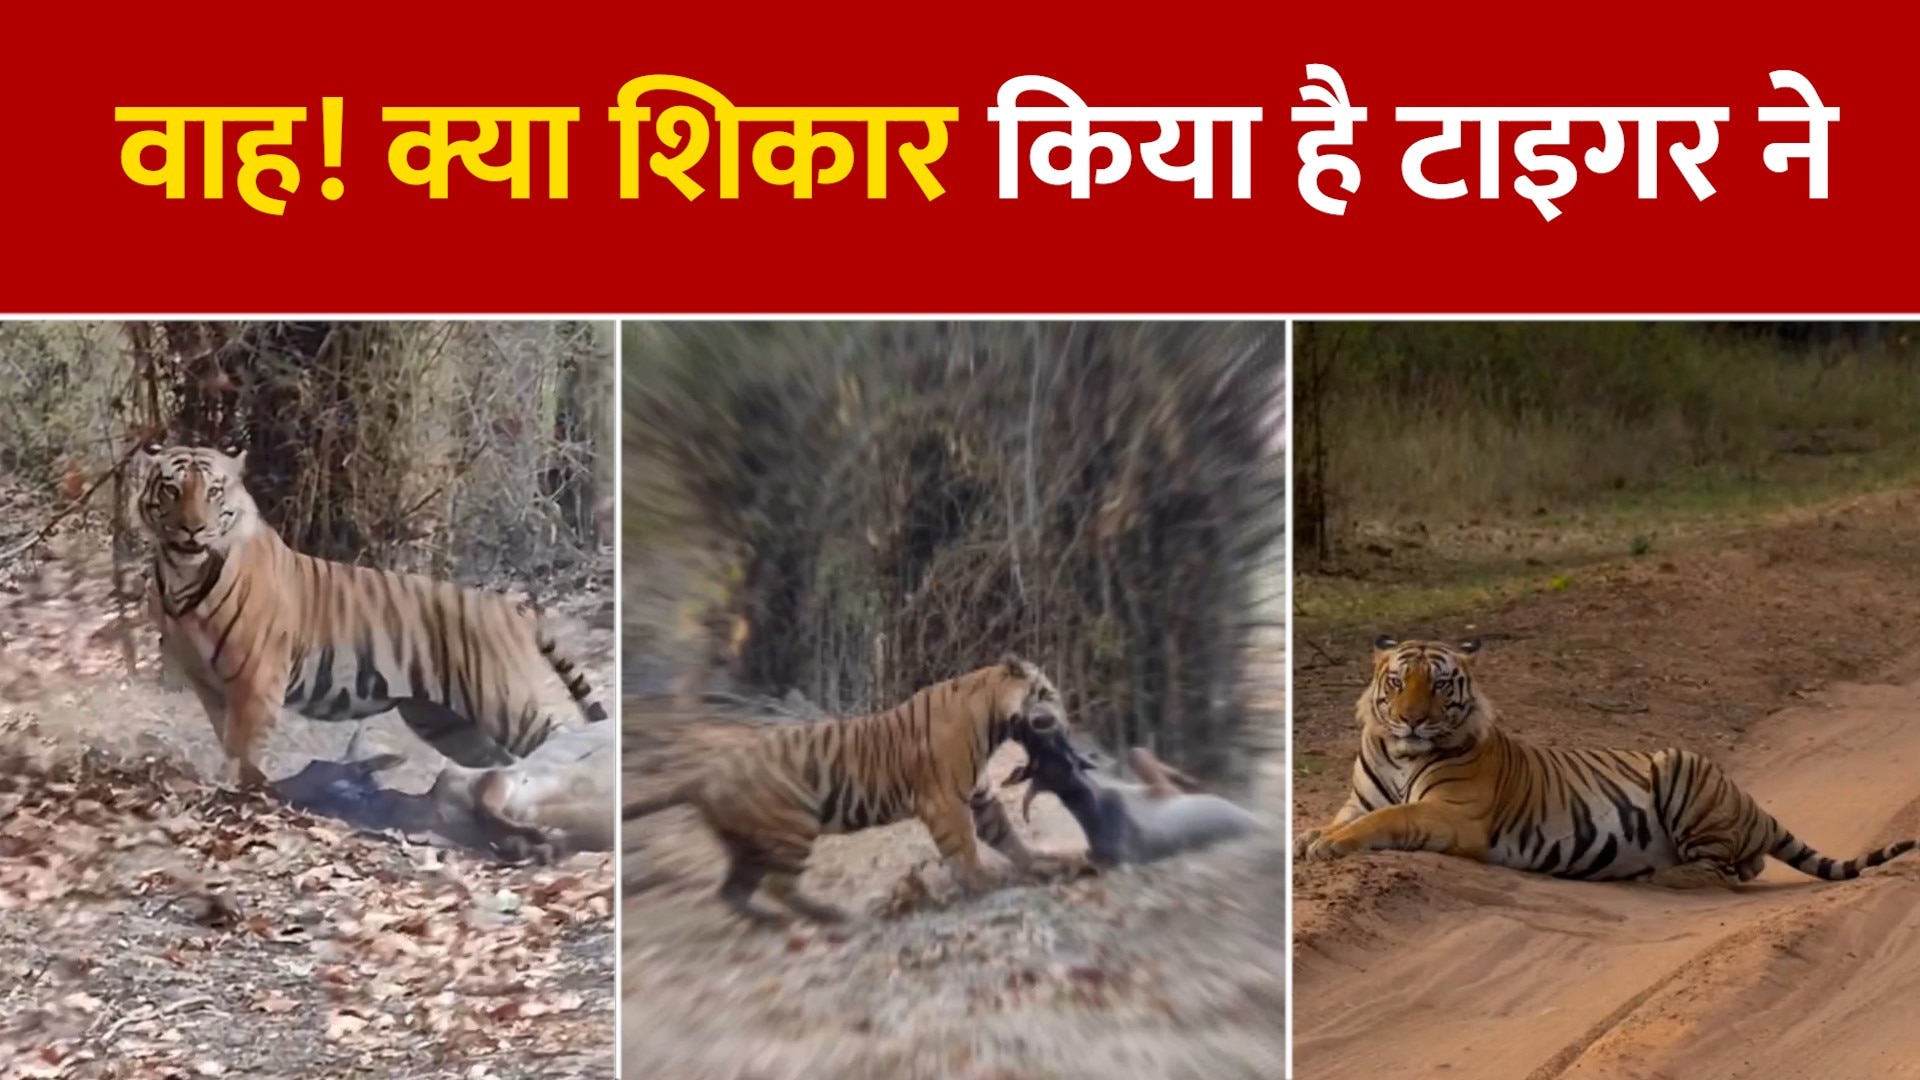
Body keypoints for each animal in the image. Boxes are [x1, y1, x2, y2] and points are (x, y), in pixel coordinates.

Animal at [133, 442, 610, 790]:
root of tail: (512, 607)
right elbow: (225, 734)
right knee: (498, 760)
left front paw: (237, 788)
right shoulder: (208, 682)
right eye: (172, 490)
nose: (193, 528)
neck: (182, 574)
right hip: (448, 724)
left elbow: (243, 744)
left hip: (503, 704)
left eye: (214, 492)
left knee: (555, 738)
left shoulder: (256, 679)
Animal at [623, 656, 1067, 925]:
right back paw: (835, 917)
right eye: (1047, 692)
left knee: (731, 890)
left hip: (748, 846)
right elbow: (965, 849)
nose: (1066, 717)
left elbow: (1007, 838)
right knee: (779, 886)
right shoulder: (944, 803)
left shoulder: (979, 797)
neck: (994, 721)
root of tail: (705, 775)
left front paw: (1037, 864)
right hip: (793, 825)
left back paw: (771, 921)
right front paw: (984, 885)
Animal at [1296, 636, 1918, 887]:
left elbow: (1389, 819)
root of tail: (1750, 805)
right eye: (1397, 683)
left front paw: (1327, 847)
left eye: (1440, 685)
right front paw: (1311, 837)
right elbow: (1343, 817)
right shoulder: (1357, 799)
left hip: (1681, 768)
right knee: (1748, 866)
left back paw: (1664, 877)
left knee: (1721, 870)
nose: (1411, 720)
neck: (1400, 752)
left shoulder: (1453, 814)